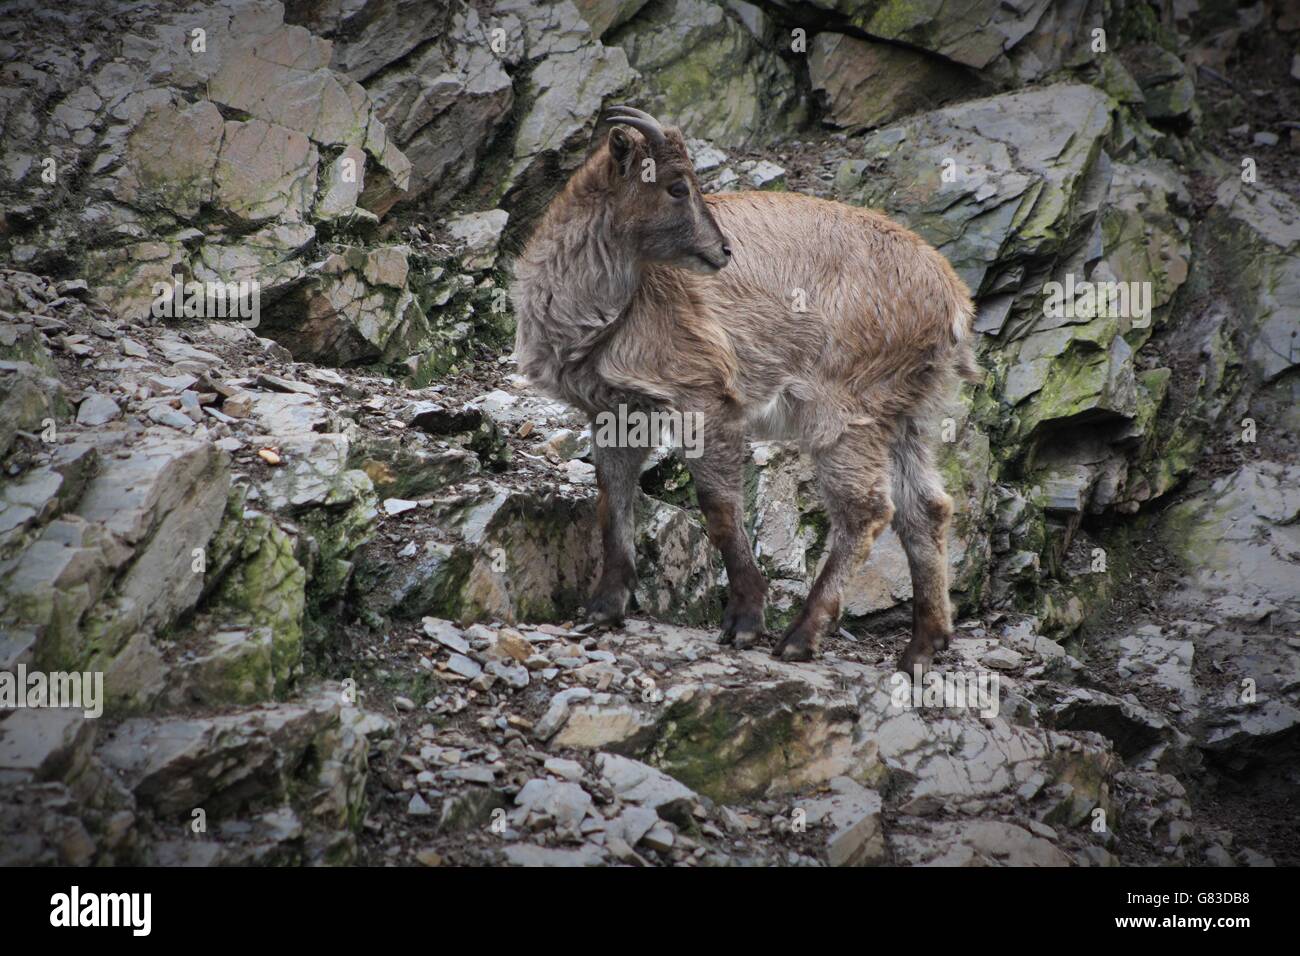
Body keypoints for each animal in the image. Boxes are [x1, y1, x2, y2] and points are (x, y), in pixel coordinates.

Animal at [511, 106, 980, 673]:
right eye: (676, 186)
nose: (722, 250)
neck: (606, 310)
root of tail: (951, 299)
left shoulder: (704, 397)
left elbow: (718, 506)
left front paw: (745, 620)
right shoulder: (617, 409)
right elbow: (612, 497)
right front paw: (605, 605)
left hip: (846, 407)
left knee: (866, 511)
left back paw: (803, 634)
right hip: (910, 413)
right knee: (925, 509)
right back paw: (923, 645)